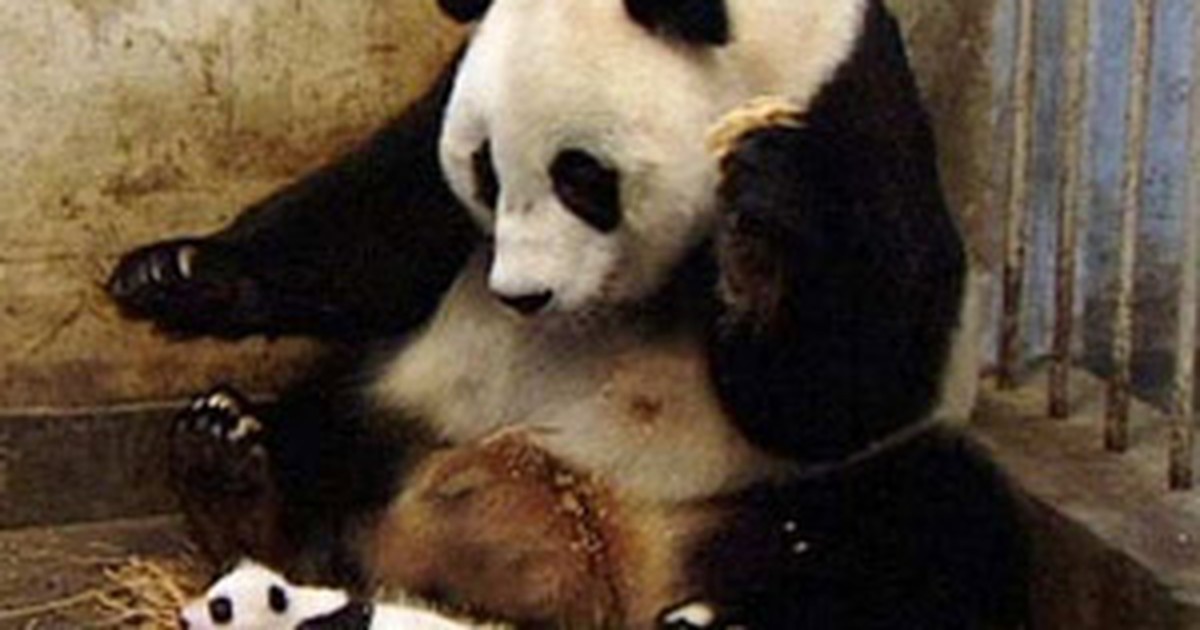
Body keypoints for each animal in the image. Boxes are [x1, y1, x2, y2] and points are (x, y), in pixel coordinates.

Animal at [108, 0, 1028, 627]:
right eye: (484, 168)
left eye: (581, 175)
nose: (522, 296)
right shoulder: (461, 75)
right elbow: (383, 222)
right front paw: (174, 273)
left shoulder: (856, 111)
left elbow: (846, 383)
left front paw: (764, 226)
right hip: (407, 407)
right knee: (323, 434)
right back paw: (229, 472)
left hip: (772, 502)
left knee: (932, 528)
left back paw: (710, 616)